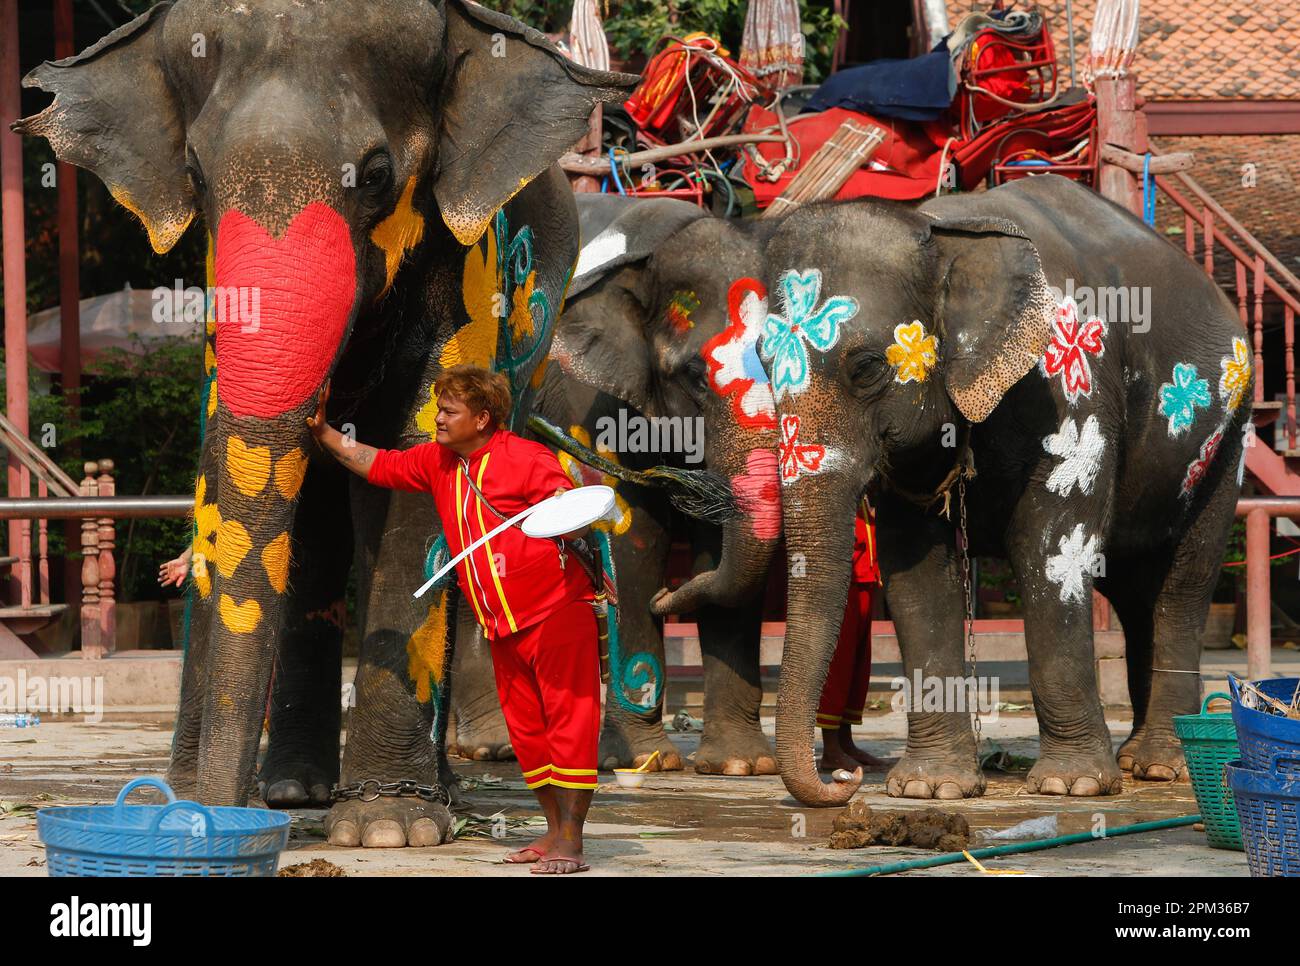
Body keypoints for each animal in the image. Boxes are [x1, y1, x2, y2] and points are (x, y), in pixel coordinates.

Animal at [17, 0, 636, 846]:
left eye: (375, 175)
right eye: (197, 175)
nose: (212, 815)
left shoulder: (468, 263)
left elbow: (414, 458)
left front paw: (387, 829)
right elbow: (222, 460)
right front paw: (172, 801)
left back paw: (430, 797)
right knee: (313, 533)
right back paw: (294, 790)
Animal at [449, 194, 791, 775]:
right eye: (694, 375)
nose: (667, 596)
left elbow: (721, 541)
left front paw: (741, 767)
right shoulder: (586, 395)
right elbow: (633, 527)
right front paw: (644, 760)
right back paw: (490, 748)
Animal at [755, 174, 1249, 806]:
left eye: (866, 367)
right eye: (762, 362)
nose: (845, 780)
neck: (941, 230)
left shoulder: (1074, 388)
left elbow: (1052, 548)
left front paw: (1072, 785)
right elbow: (915, 571)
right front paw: (931, 789)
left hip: (1226, 437)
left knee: (1182, 583)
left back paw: (1160, 766)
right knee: (1137, 591)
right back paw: (1139, 759)